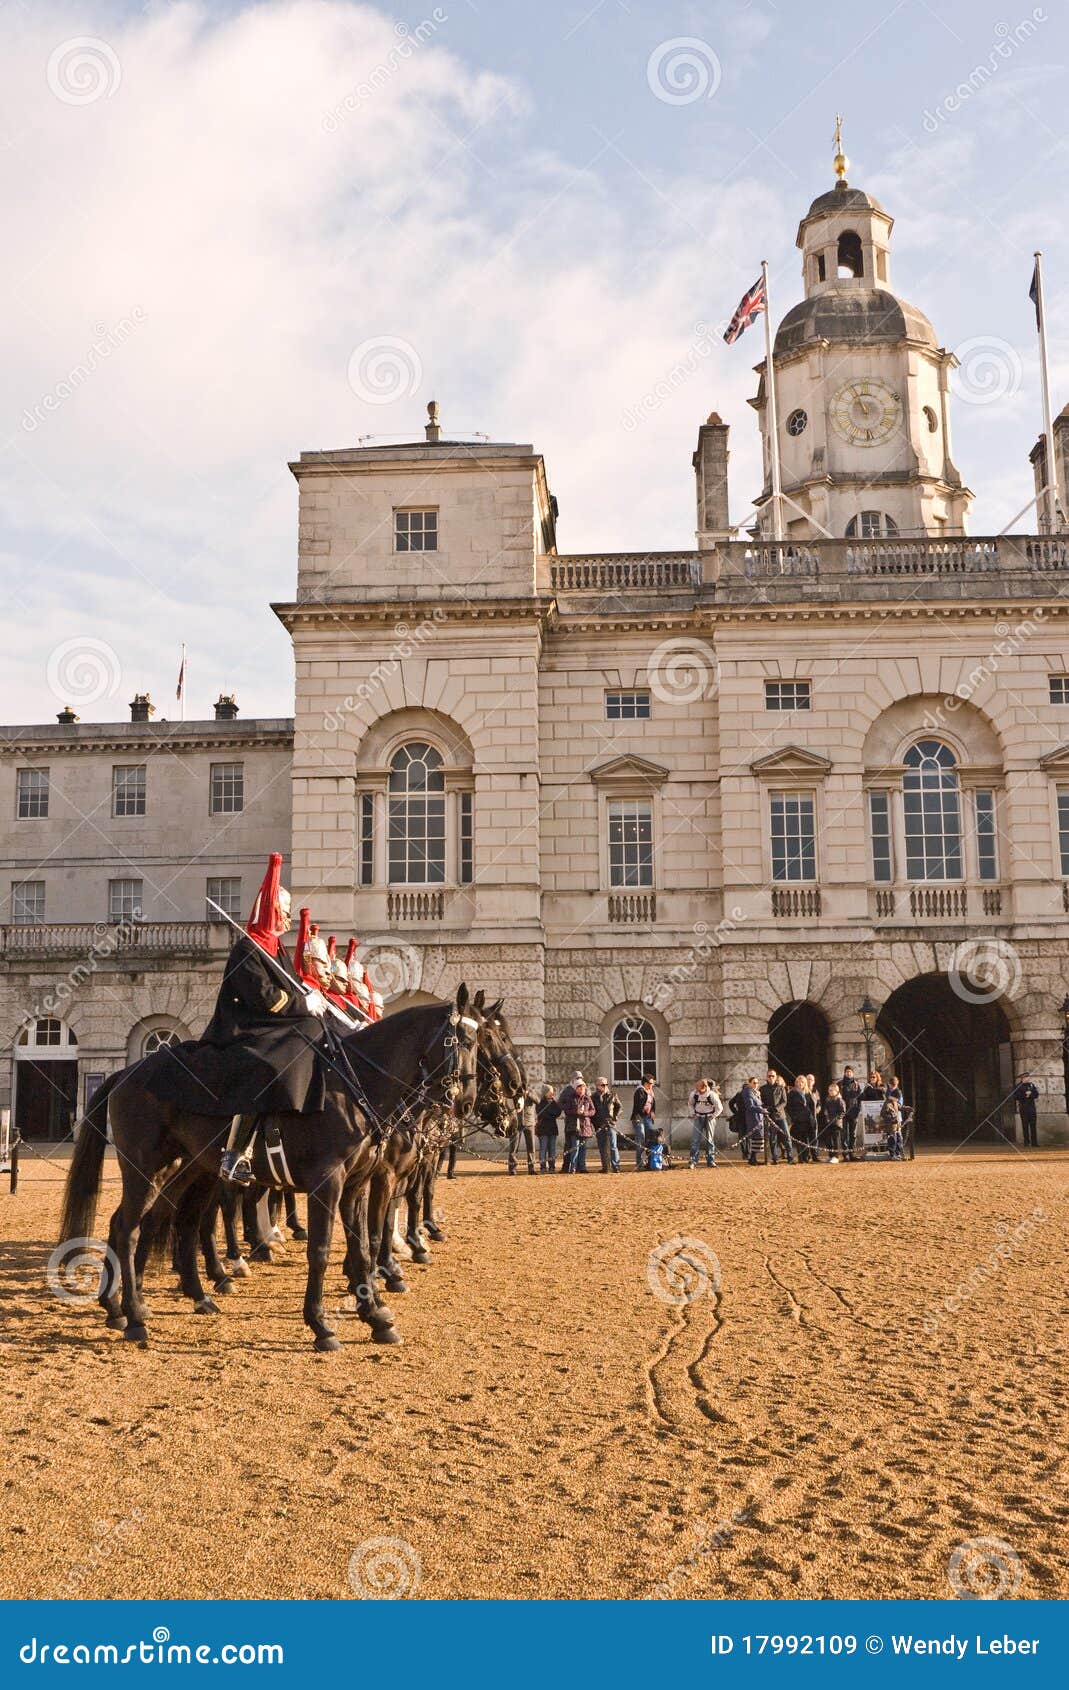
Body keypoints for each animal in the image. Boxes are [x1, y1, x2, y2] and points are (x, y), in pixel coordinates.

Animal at [59, 989, 480, 1352]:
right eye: (465, 1041)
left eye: (481, 1041)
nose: (465, 1103)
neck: (354, 1085)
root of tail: (129, 1072)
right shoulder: (329, 1183)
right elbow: (321, 1250)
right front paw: (321, 1325)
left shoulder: (357, 1185)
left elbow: (362, 1245)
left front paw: (375, 1316)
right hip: (145, 1167)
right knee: (129, 1228)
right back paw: (133, 1316)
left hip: (189, 1168)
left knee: (168, 1222)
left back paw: (142, 1303)